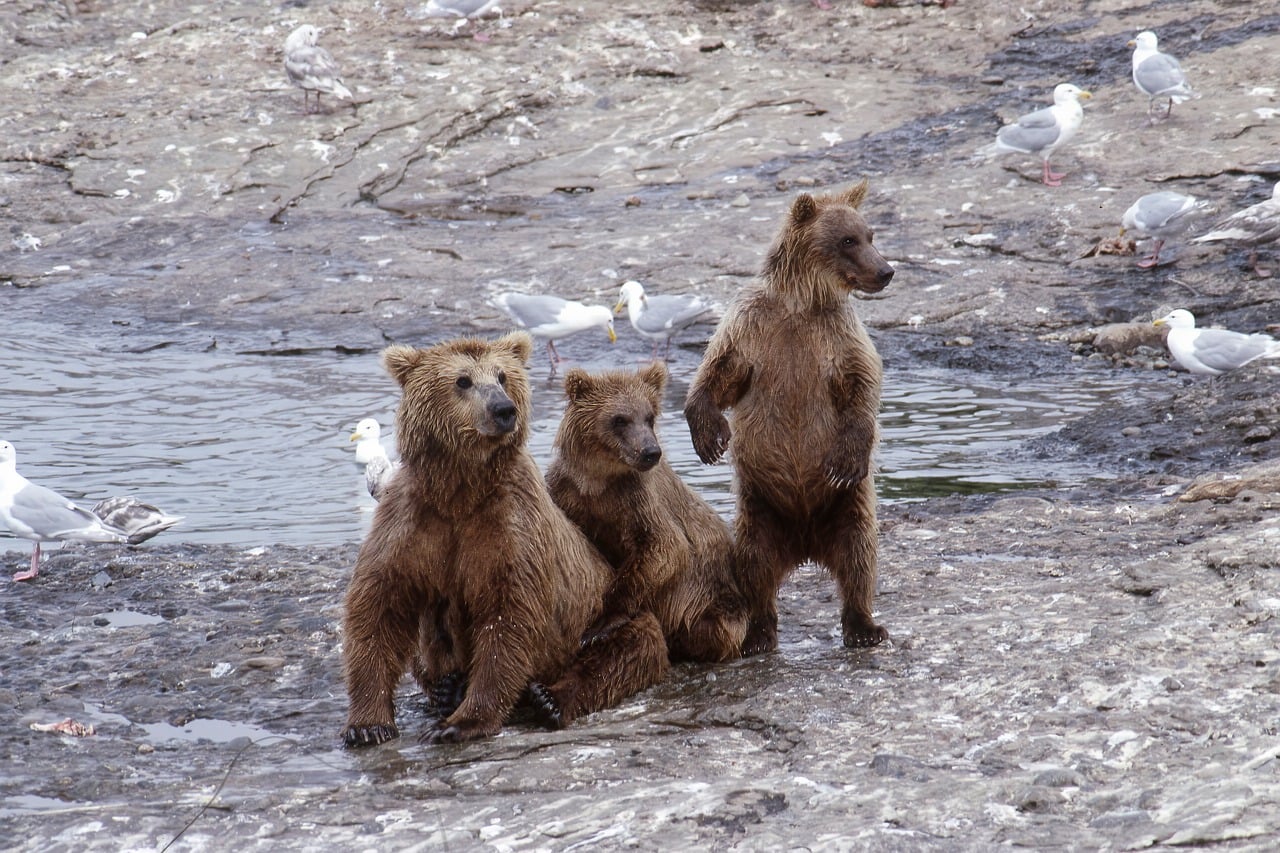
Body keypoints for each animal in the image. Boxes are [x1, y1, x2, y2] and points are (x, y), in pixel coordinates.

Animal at [341, 331, 668, 747]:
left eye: (502, 376)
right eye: (463, 380)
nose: (503, 410)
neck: (459, 490)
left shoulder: (510, 524)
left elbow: (508, 615)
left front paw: (459, 723)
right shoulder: (412, 519)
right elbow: (380, 601)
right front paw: (367, 725)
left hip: (605, 614)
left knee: (630, 649)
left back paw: (547, 700)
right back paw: (447, 688)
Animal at [545, 363, 749, 665]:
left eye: (649, 416)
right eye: (620, 419)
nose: (651, 451)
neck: (597, 480)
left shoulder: (636, 499)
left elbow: (665, 546)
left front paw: (599, 625)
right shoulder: (568, 492)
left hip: (714, 597)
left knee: (719, 627)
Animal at [683, 180, 895, 655]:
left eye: (870, 234)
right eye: (849, 239)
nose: (886, 270)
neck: (802, 301)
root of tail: (806, 546)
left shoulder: (837, 336)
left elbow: (862, 385)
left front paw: (846, 456)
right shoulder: (754, 326)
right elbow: (719, 370)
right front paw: (709, 437)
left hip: (847, 504)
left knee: (859, 555)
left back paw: (865, 626)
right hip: (759, 508)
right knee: (753, 564)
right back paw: (757, 633)